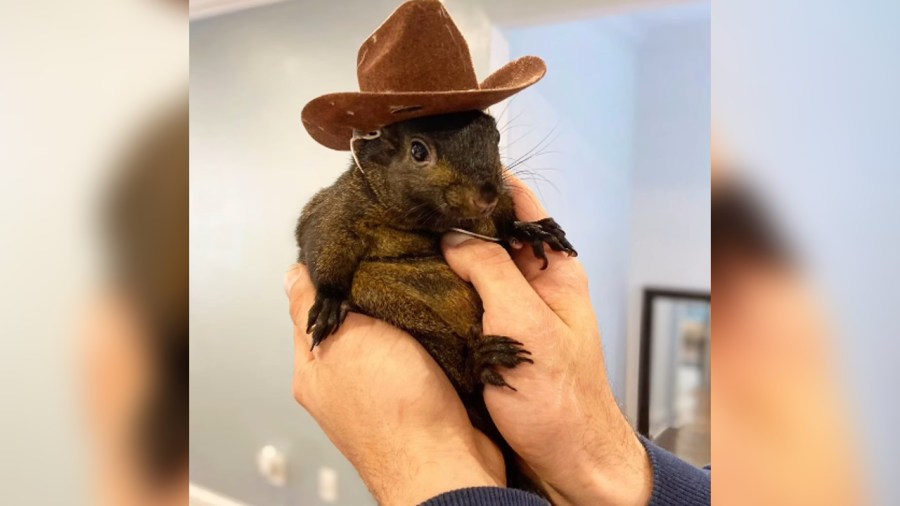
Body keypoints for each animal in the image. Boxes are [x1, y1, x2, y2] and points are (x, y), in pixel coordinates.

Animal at [295, 109, 576, 498]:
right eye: (418, 151)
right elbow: (323, 244)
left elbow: (505, 225)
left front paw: (531, 229)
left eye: (495, 137)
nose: (486, 195)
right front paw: (329, 301)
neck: (429, 221)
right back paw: (479, 360)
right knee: (465, 380)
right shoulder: (336, 211)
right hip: (399, 310)